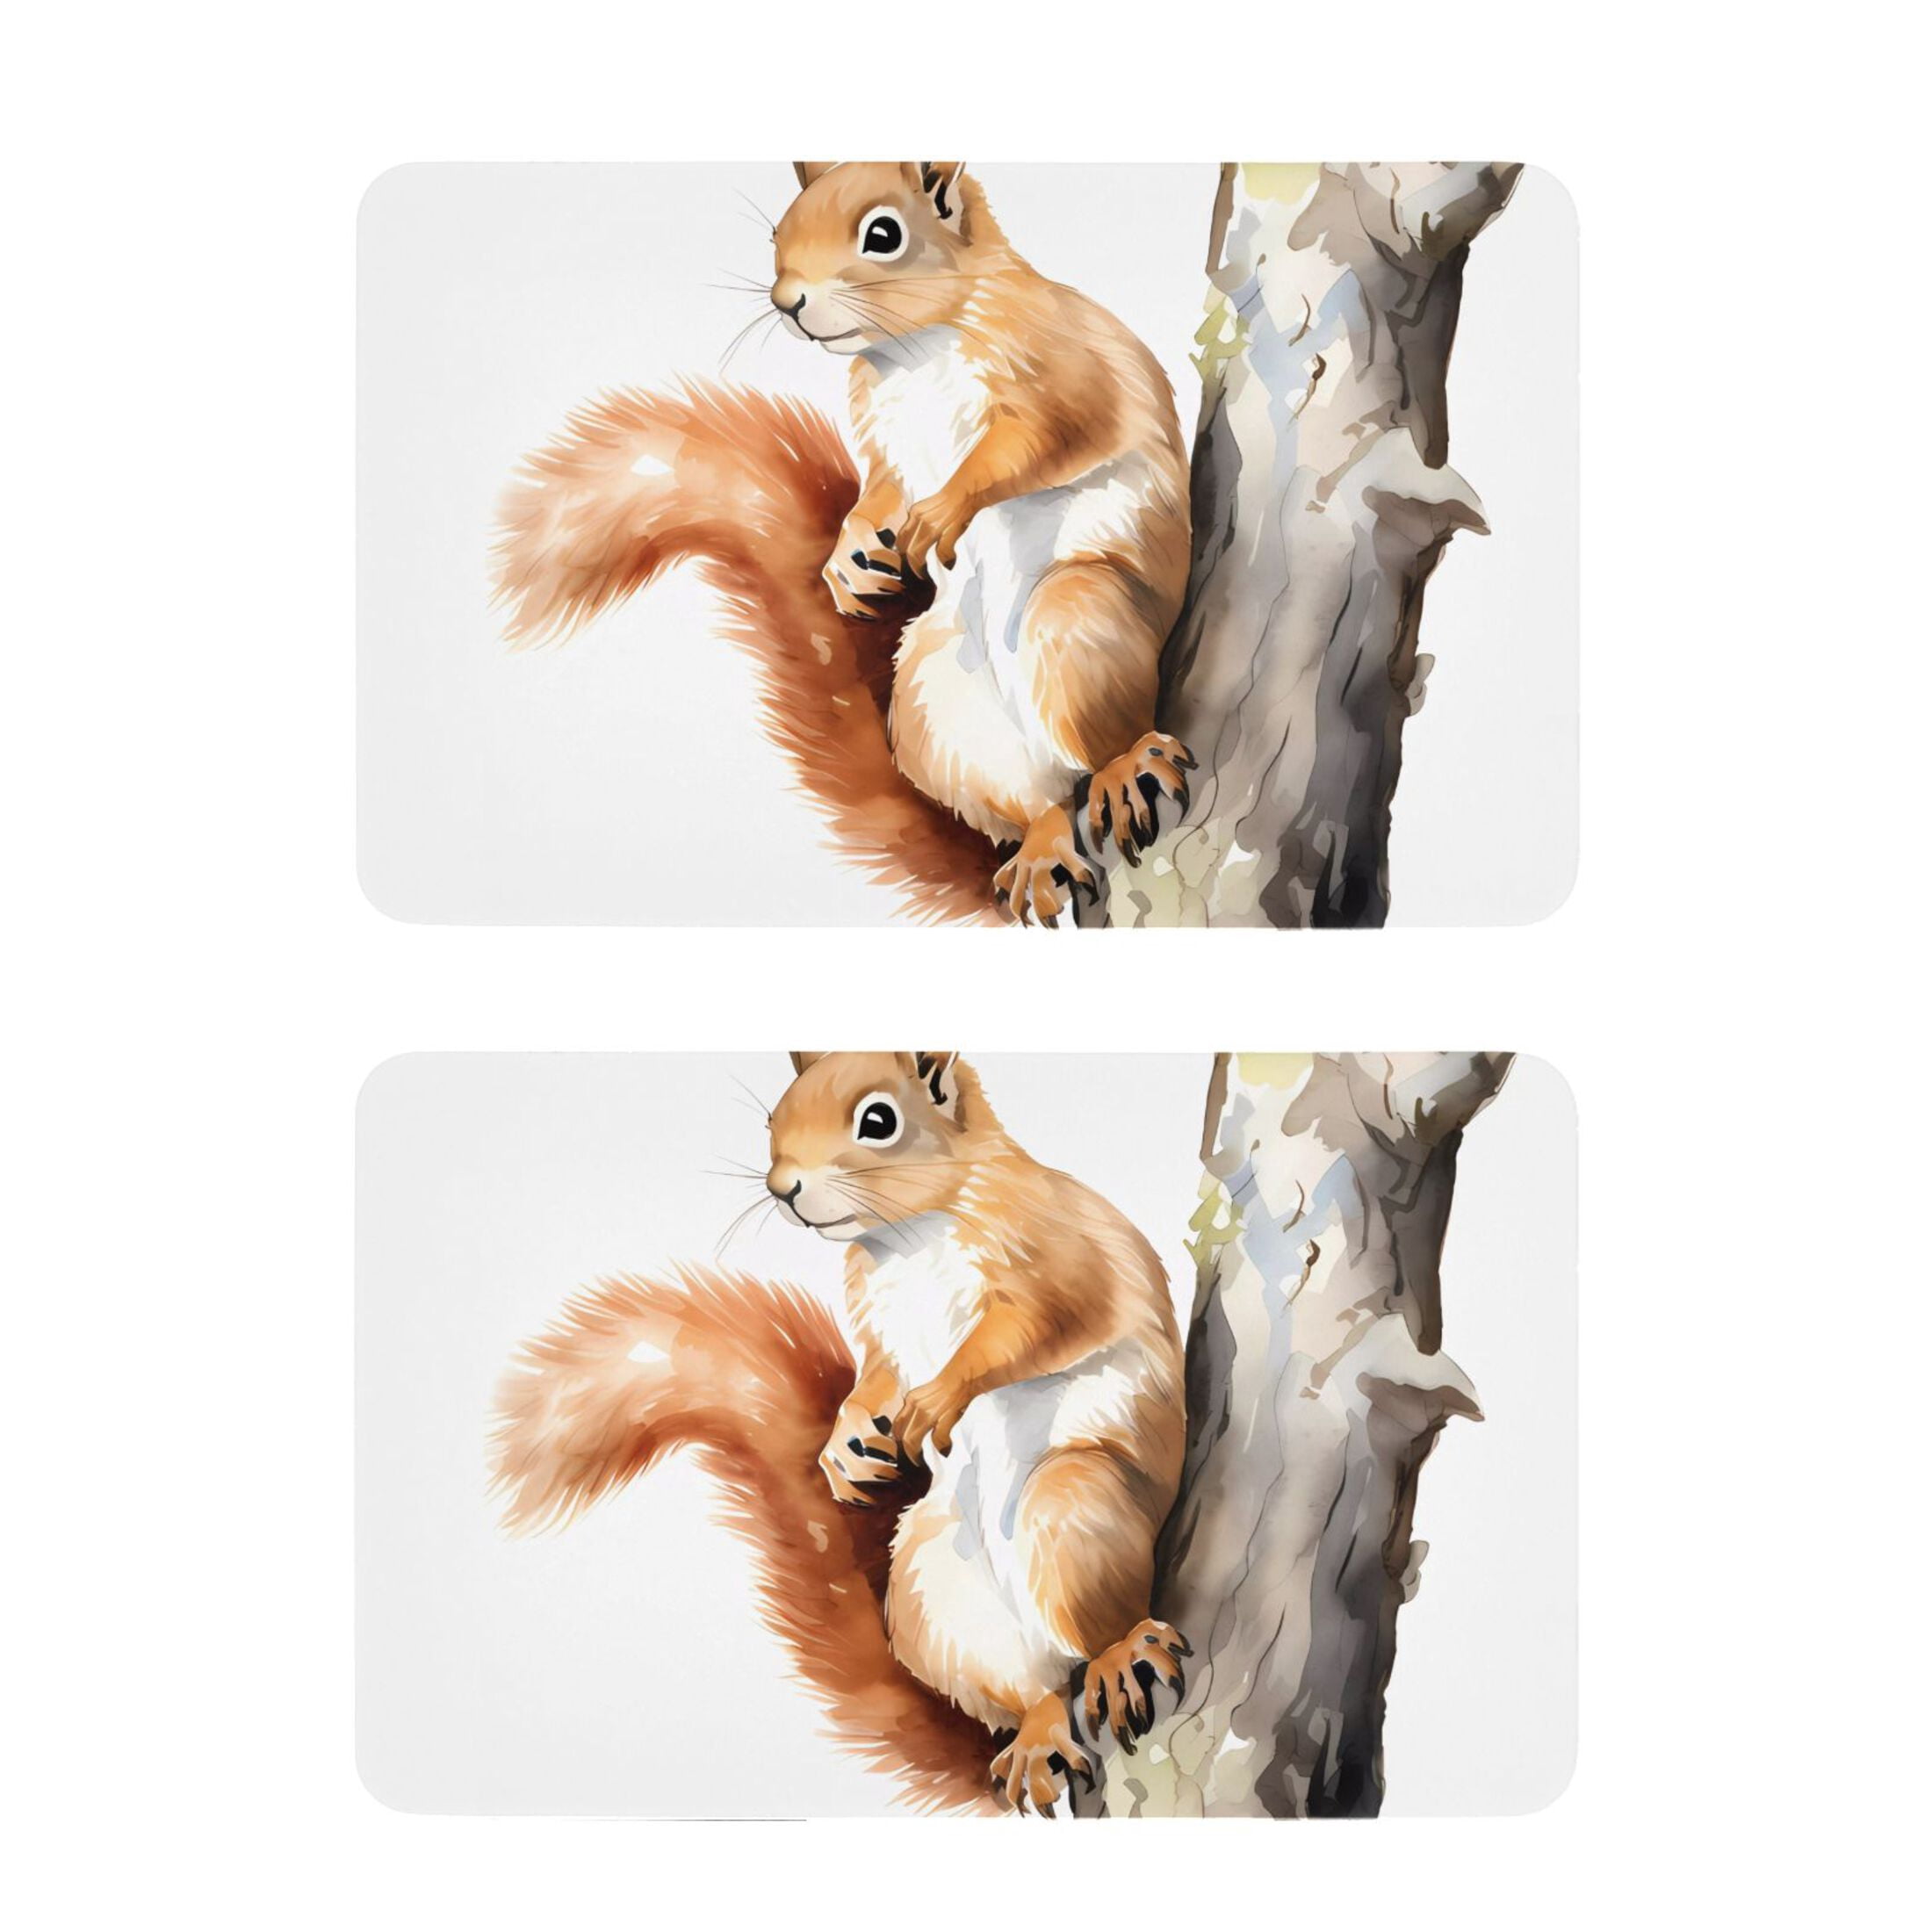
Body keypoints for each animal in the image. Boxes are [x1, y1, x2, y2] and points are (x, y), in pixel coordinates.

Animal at [490, 1051, 1190, 1815]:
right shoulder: (880, 1328)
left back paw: (1119, 1652)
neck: (908, 1234)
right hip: (930, 1597)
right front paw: (844, 1447)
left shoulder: (1051, 1248)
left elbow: (1031, 1326)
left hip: (1077, 1508)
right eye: (774, 1117)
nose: (783, 1188)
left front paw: (938, 1398)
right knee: (1033, 1690)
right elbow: (877, 1380)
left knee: (1093, 1618)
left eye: (877, 1121)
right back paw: (1036, 1735)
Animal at [492, 163, 1196, 926]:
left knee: (1097, 730)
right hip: (933, 710)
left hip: (1081, 620)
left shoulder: (1057, 361)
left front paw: (943, 511)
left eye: (882, 235)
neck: (912, 348)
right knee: (1038, 802)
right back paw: (1039, 847)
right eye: (778, 232)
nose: (787, 302)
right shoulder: (884, 440)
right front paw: (847, 560)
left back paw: (1123, 765)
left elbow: (1035, 440)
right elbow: (881, 493)